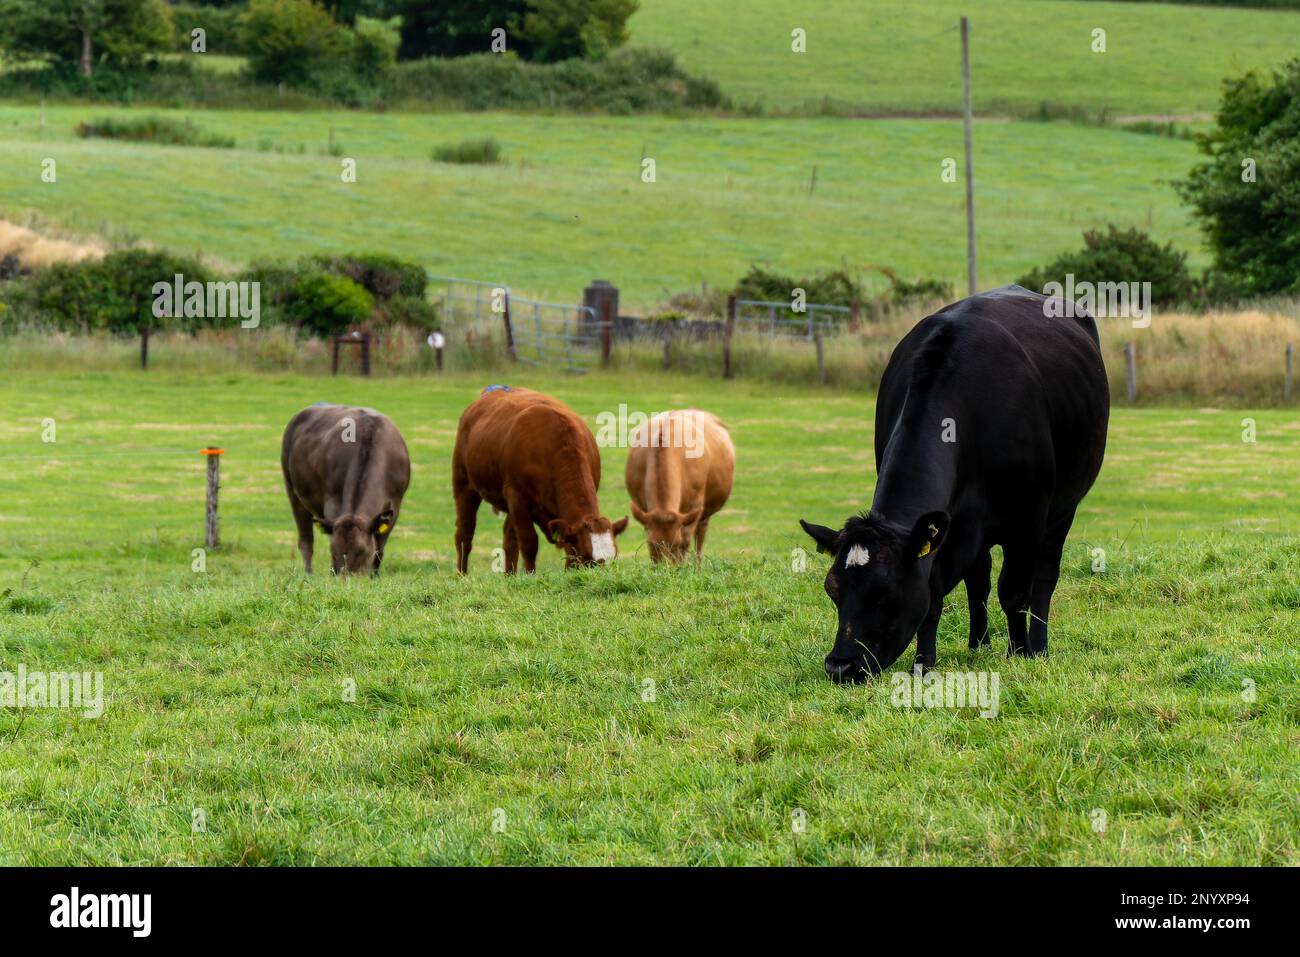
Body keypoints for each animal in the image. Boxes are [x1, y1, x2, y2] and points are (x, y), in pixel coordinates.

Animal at [281, 403, 411, 575]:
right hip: (293, 490)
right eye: (333, 551)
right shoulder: (332, 501)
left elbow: (379, 550)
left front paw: (374, 576)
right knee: (306, 541)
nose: (347, 578)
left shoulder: (394, 506)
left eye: (363, 551)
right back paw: (309, 574)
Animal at [452, 385, 627, 573]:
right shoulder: (517, 498)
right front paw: (531, 575)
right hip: (464, 484)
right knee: (464, 534)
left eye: (614, 560)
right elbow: (529, 543)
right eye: (587, 560)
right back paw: (462, 574)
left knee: (509, 538)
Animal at [625, 409, 734, 563]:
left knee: (700, 537)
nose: (664, 568)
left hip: (705, 512)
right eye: (652, 543)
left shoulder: (694, 505)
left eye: (676, 543)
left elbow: (687, 539)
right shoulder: (641, 506)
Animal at [800, 285, 1109, 682]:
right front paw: (923, 664)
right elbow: (935, 597)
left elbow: (1014, 591)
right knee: (979, 579)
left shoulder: (1027, 519)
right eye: (832, 590)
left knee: (1044, 576)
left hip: (1062, 509)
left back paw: (1038, 645)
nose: (840, 665)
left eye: (885, 593)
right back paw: (979, 644)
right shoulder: (945, 530)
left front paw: (1020, 652)